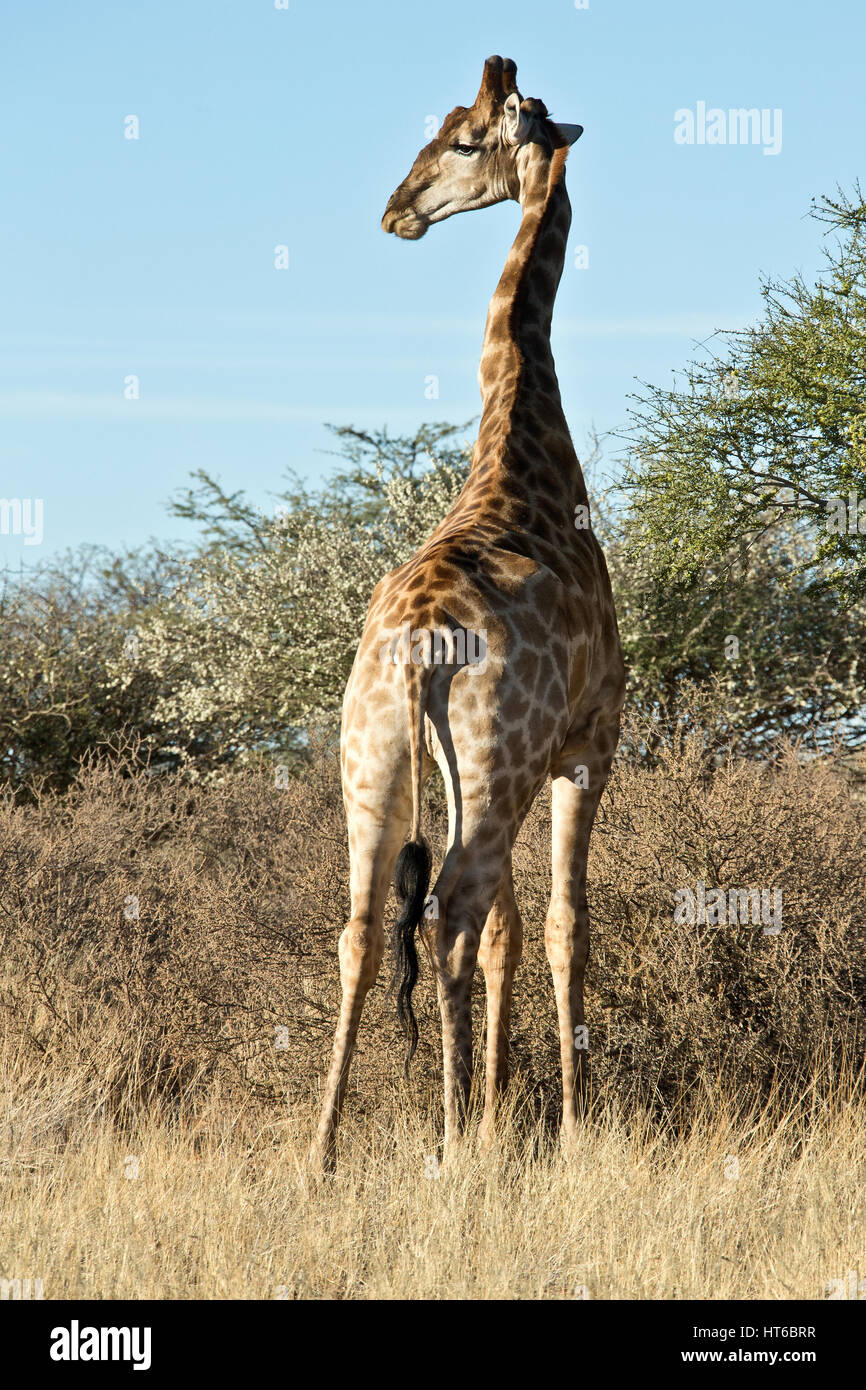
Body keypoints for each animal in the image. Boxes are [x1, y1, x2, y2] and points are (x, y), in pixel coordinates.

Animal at [310, 56, 625, 1172]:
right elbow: (564, 924)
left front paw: (502, 1113)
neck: (516, 444)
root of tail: (416, 650)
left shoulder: (505, 767)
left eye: (460, 138)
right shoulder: (588, 740)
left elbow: (509, 934)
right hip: (491, 764)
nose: (397, 211)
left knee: (366, 926)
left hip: (373, 757)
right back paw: (450, 1143)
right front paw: (563, 1128)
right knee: (446, 916)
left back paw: (322, 1153)